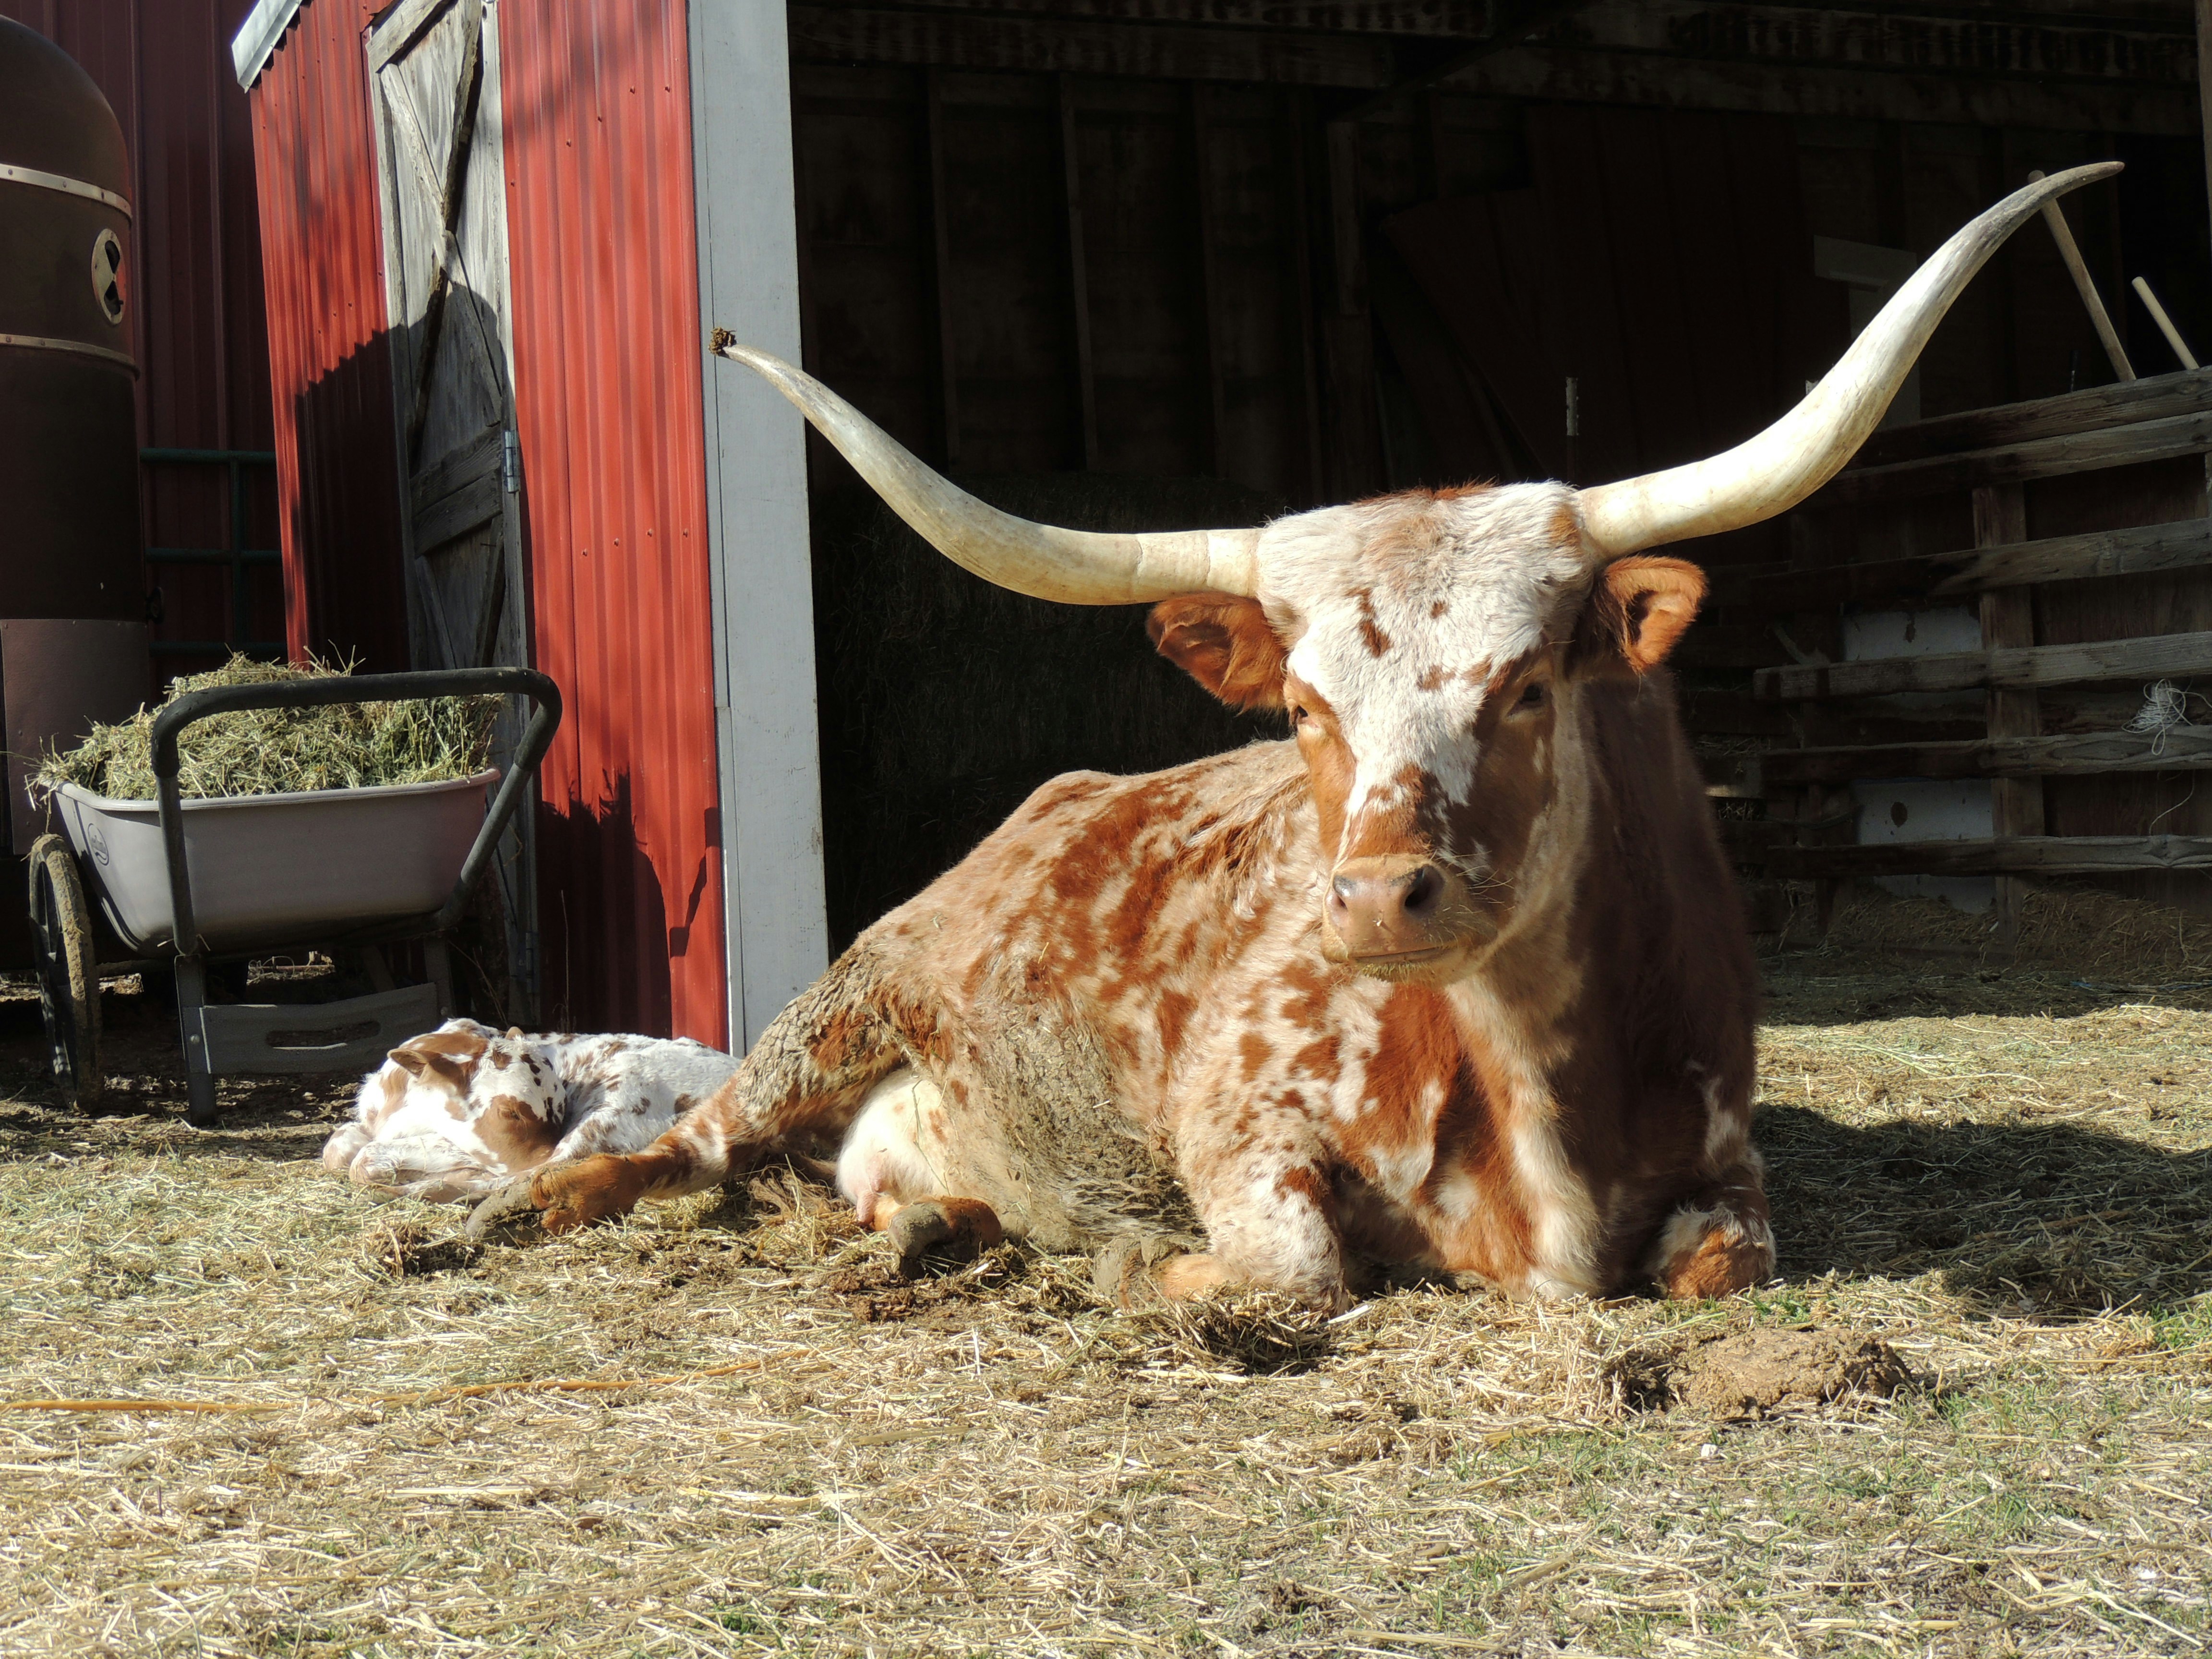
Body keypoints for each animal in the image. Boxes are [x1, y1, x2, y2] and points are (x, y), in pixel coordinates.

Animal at [325, 1019, 739, 1202]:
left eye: (560, 1108)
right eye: (511, 1114)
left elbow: (365, 1158)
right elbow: (337, 1148)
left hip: (617, 1102)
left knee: (539, 1174)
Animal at [473, 168, 2114, 1308]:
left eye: (1530, 684)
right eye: (1305, 710)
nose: (1379, 899)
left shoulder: (1728, 1162)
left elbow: (1722, 1262)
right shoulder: (1235, 1119)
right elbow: (1299, 1270)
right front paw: (1156, 1268)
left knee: (879, 1187)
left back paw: (935, 1226)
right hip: (839, 1000)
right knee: (687, 1147)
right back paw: (510, 1212)